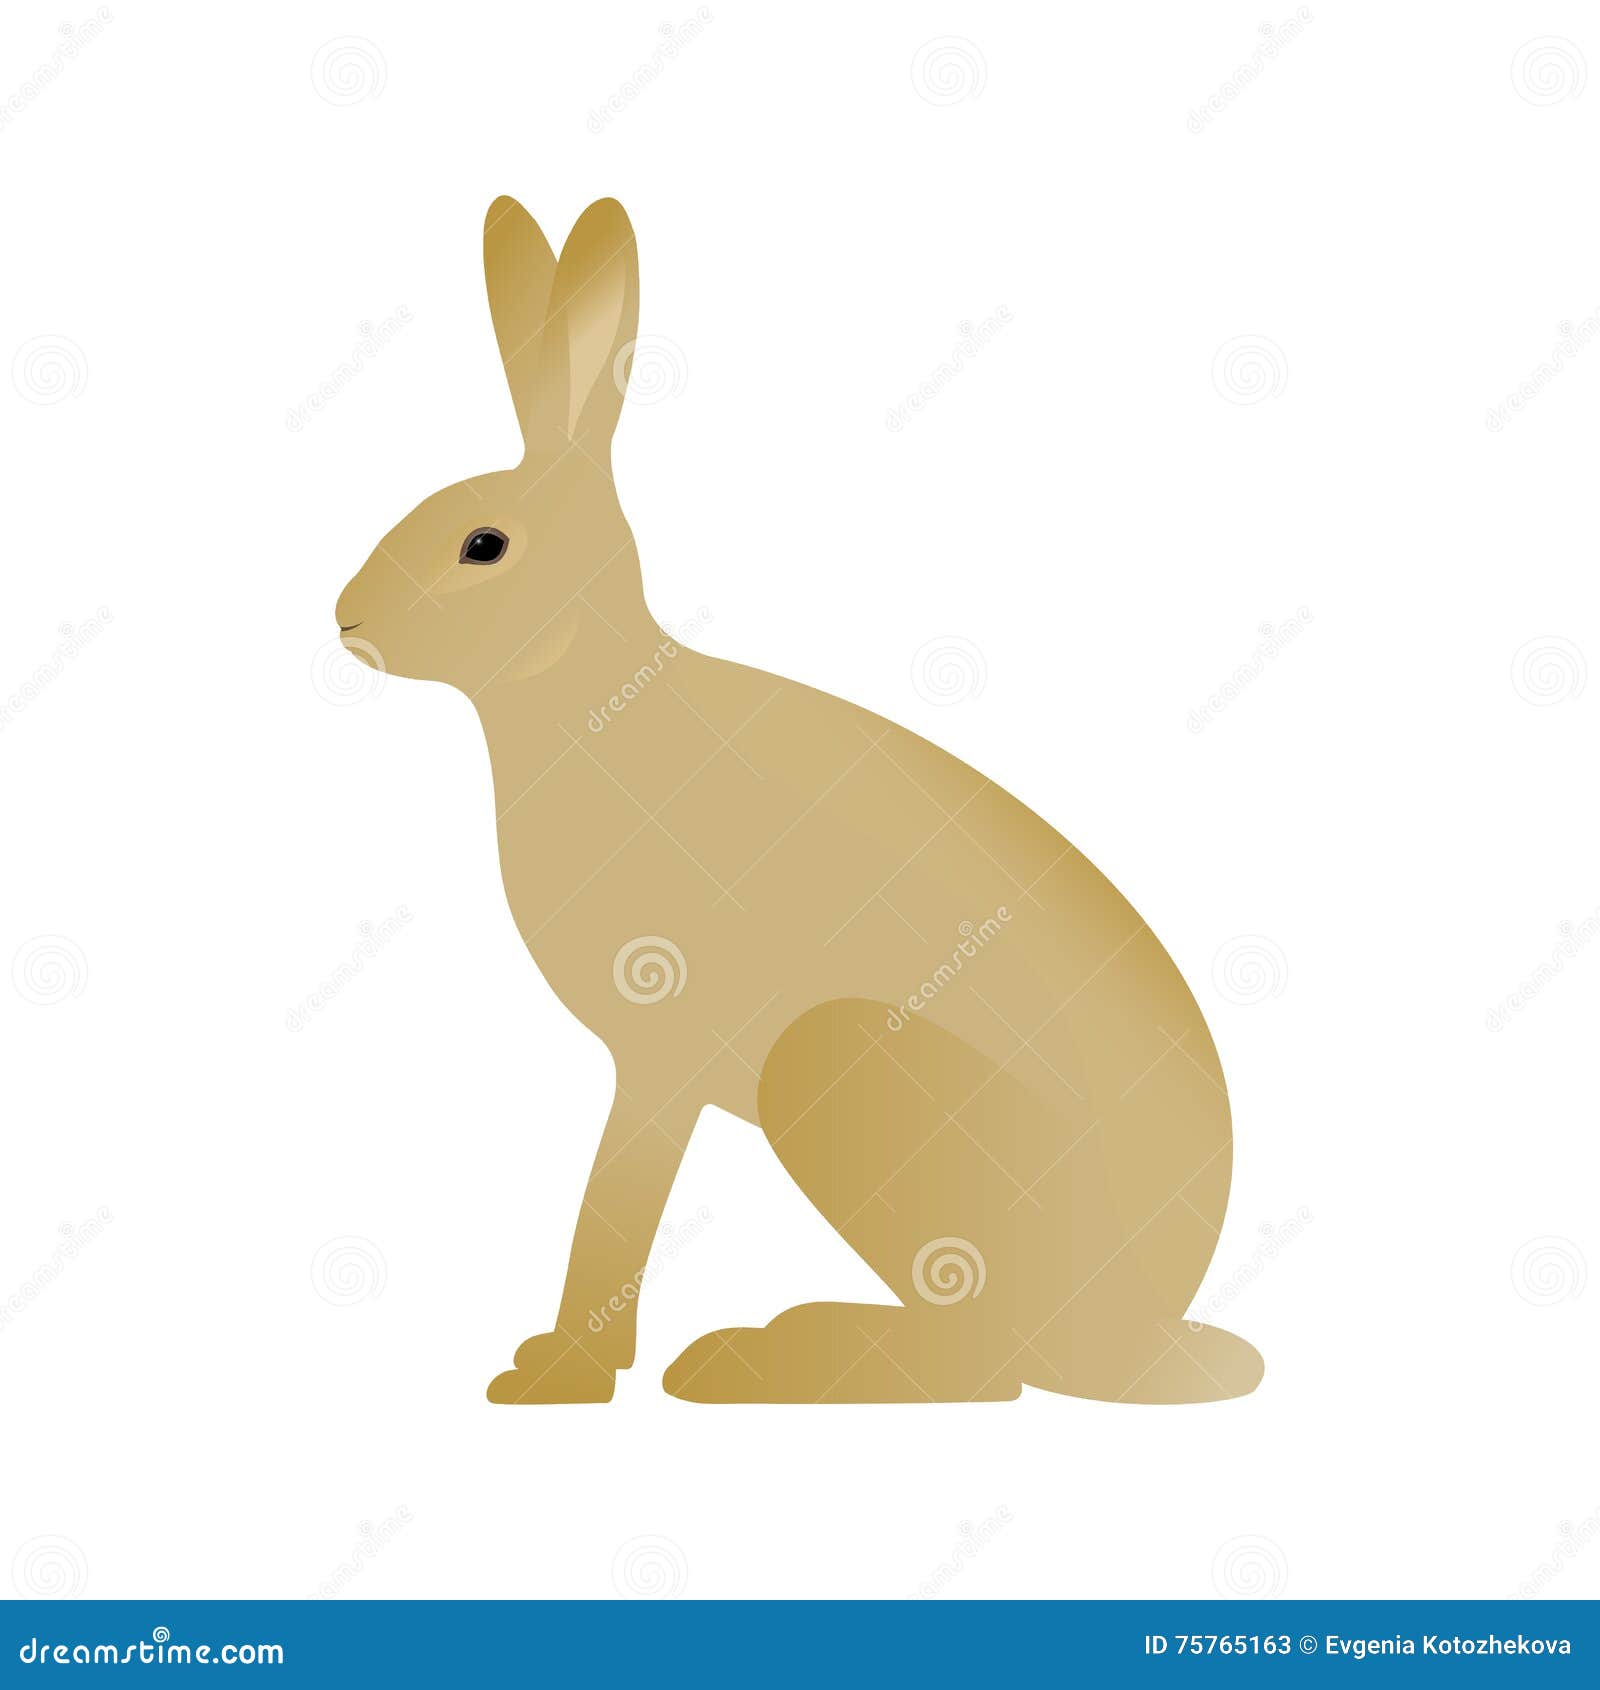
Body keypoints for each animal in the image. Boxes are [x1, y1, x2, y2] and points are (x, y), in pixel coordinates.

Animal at [334, 196, 1264, 1405]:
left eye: (482, 545)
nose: (345, 619)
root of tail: (1146, 1328)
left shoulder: (657, 1055)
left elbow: (616, 1203)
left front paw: (558, 1377)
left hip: (839, 1064)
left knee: (991, 1364)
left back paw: (767, 1357)